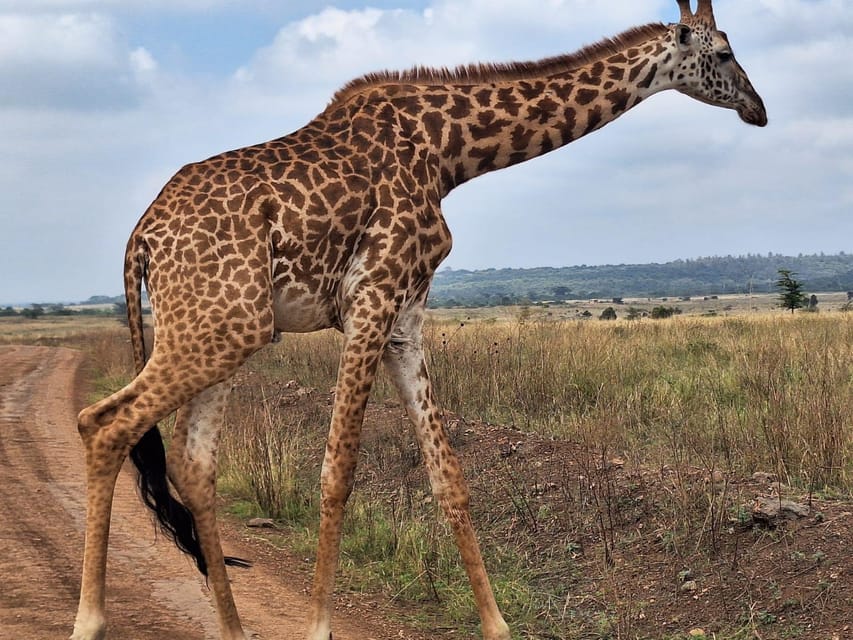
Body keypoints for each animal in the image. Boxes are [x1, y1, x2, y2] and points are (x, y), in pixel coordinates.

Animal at [71, 1, 766, 639]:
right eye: (725, 52)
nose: (758, 109)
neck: (450, 151)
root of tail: (141, 237)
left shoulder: (404, 319)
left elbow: (448, 476)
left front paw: (498, 626)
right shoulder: (370, 301)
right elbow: (337, 472)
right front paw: (319, 627)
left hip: (223, 331)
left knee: (193, 464)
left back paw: (232, 629)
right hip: (219, 327)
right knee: (104, 423)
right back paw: (89, 620)